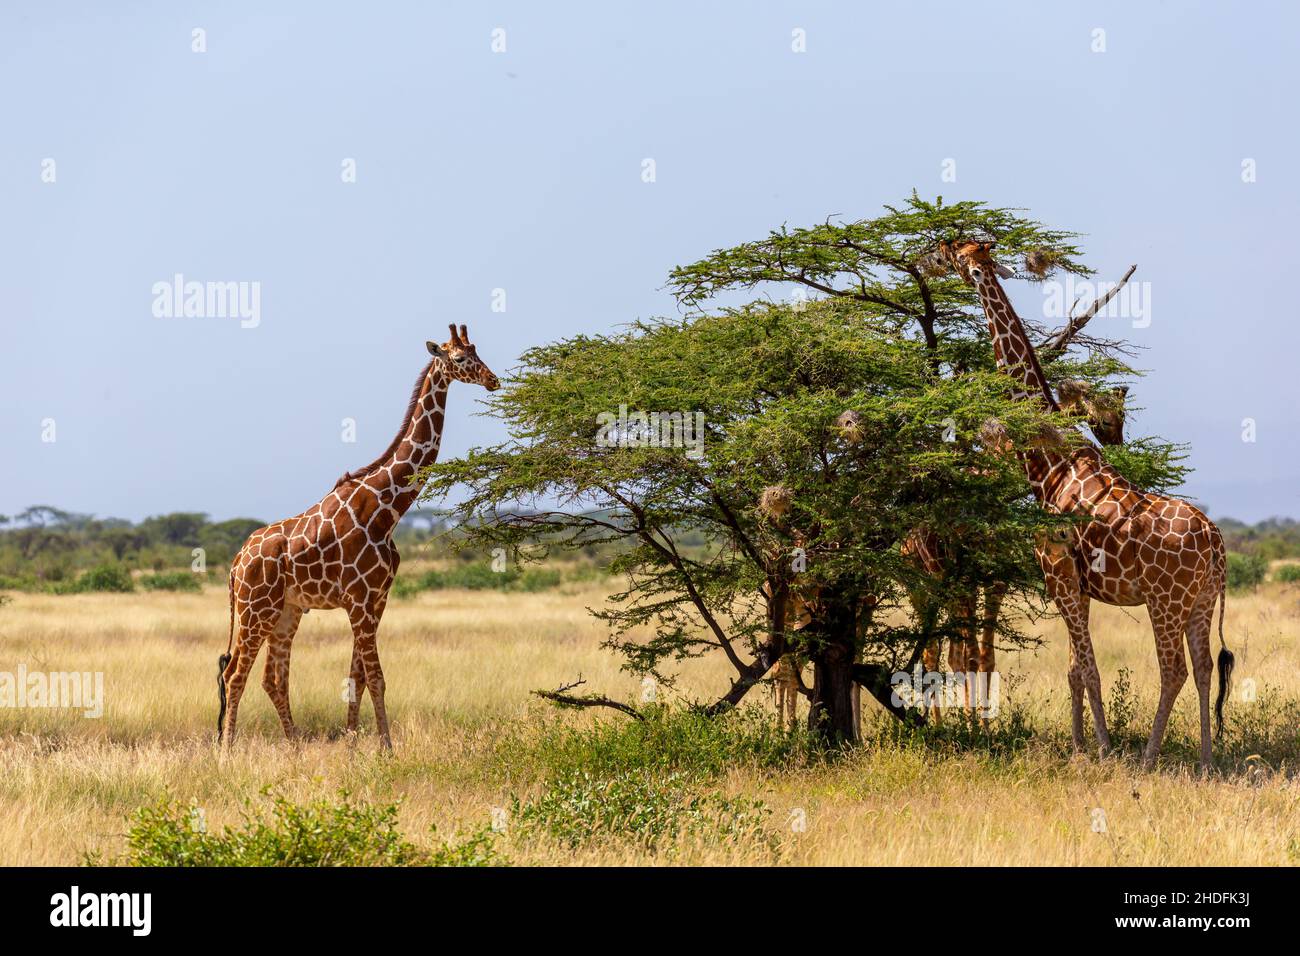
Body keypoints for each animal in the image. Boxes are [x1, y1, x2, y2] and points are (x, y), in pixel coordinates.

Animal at [216, 325, 500, 748]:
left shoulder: (376, 600)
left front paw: (353, 744)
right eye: (460, 358)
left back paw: (294, 746)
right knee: (235, 675)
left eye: (478, 351)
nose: (493, 380)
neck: (387, 509)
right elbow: (376, 678)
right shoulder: (360, 602)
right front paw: (386, 748)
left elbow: (358, 678)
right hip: (256, 610)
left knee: (270, 678)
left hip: (286, 611)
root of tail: (236, 563)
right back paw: (228, 750)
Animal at [902, 381, 1129, 724]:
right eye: (1106, 419)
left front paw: (983, 725)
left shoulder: (994, 581)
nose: (1115, 446)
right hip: (925, 583)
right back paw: (935, 724)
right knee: (933, 650)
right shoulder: (964, 582)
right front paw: (970, 725)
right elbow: (967, 656)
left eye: (1119, 417)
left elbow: (984, 656)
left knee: (944, 649)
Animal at [937, 240, 1233, 769]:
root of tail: (1217, 544)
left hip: (1166, 599)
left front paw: (1103, 748)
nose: (940, 249)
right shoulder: (1075, 584)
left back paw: (1148, 758)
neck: (1048, 462)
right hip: (1200, 599)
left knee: (1174, 670)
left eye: (962, 252)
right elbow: (1075, 668)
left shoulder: (1057, 573)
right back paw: (1204, 761)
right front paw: (1078, 747)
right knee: (1203, 669)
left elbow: (1089, 669)